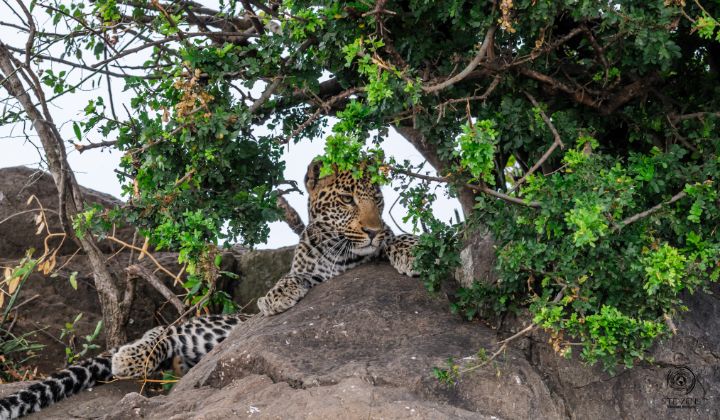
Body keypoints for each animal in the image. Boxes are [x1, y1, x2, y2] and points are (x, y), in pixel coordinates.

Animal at [0, 159, 419, 419]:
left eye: (377, 200)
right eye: (347, 200)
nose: (371, 229)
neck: (338, 252)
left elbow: (397, 239)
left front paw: (408, 250)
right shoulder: (310, 265)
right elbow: (296, 275)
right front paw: (277, 295)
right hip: (207, 329)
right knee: (163, 330)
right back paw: (128, 358)